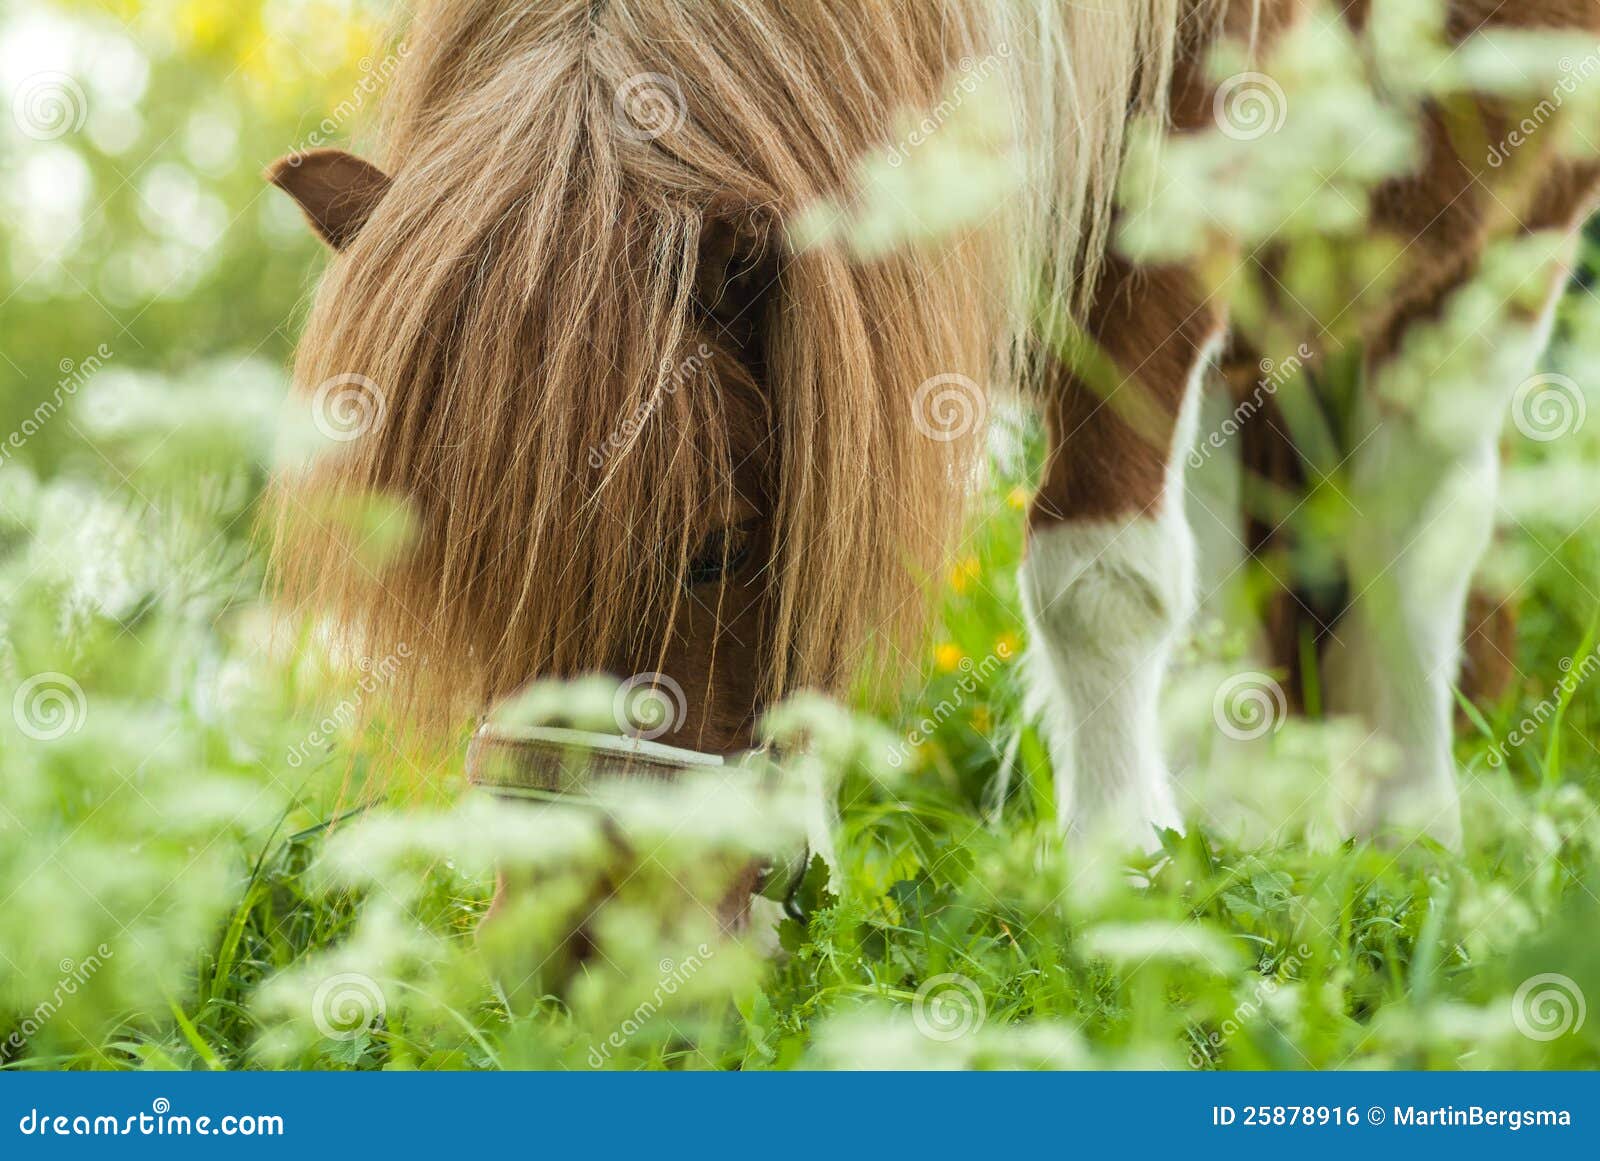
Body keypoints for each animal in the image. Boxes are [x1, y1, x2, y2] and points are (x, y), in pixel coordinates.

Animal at [267, 0, 1600, 923]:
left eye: (716, 555)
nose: (564, 955)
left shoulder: (1167, 188)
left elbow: (1097, 575)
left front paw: (1120, 881)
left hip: (1499, 221)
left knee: (1415, 526)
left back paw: (1411, 834)